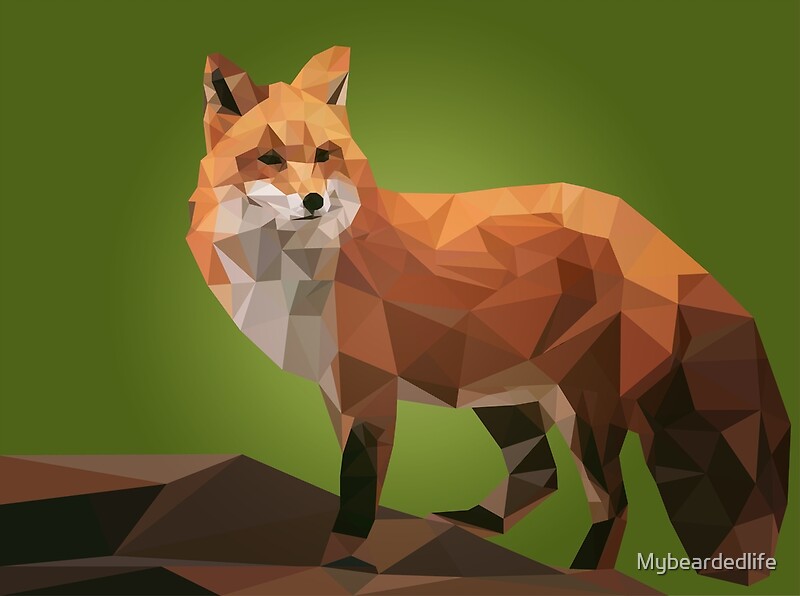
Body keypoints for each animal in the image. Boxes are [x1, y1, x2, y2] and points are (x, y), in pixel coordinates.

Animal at [186, 47, 790, 585]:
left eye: (325, 154)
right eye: (269, 159)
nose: (313, 201)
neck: (298, 271)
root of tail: (652, 239)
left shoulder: (368, 390)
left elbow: (357, 490)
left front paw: (340, 559)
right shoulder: (336, 392)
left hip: (584, 409)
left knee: (614, 502)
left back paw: (581, 573)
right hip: (501, 387)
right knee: (540, 474)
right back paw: (480, 522)